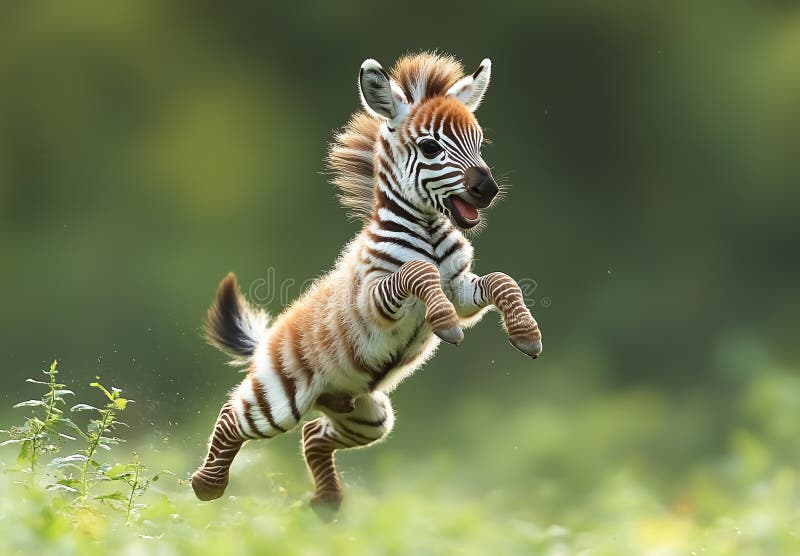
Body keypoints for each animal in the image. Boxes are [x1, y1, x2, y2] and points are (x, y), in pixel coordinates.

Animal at [190, 52, 543, 517]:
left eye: (480, 144)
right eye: (431, 147)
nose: (487, 189)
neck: (430, 233)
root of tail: (268, 338)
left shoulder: (461, 288)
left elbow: (503, 282)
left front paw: (526, 334)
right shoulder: (375, 297)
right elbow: (417, 274)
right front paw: (445, 324)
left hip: (366, 415)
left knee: (313, 435)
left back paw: (326, 501)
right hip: (281, 399)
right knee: (233, 417)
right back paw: (206, 485)